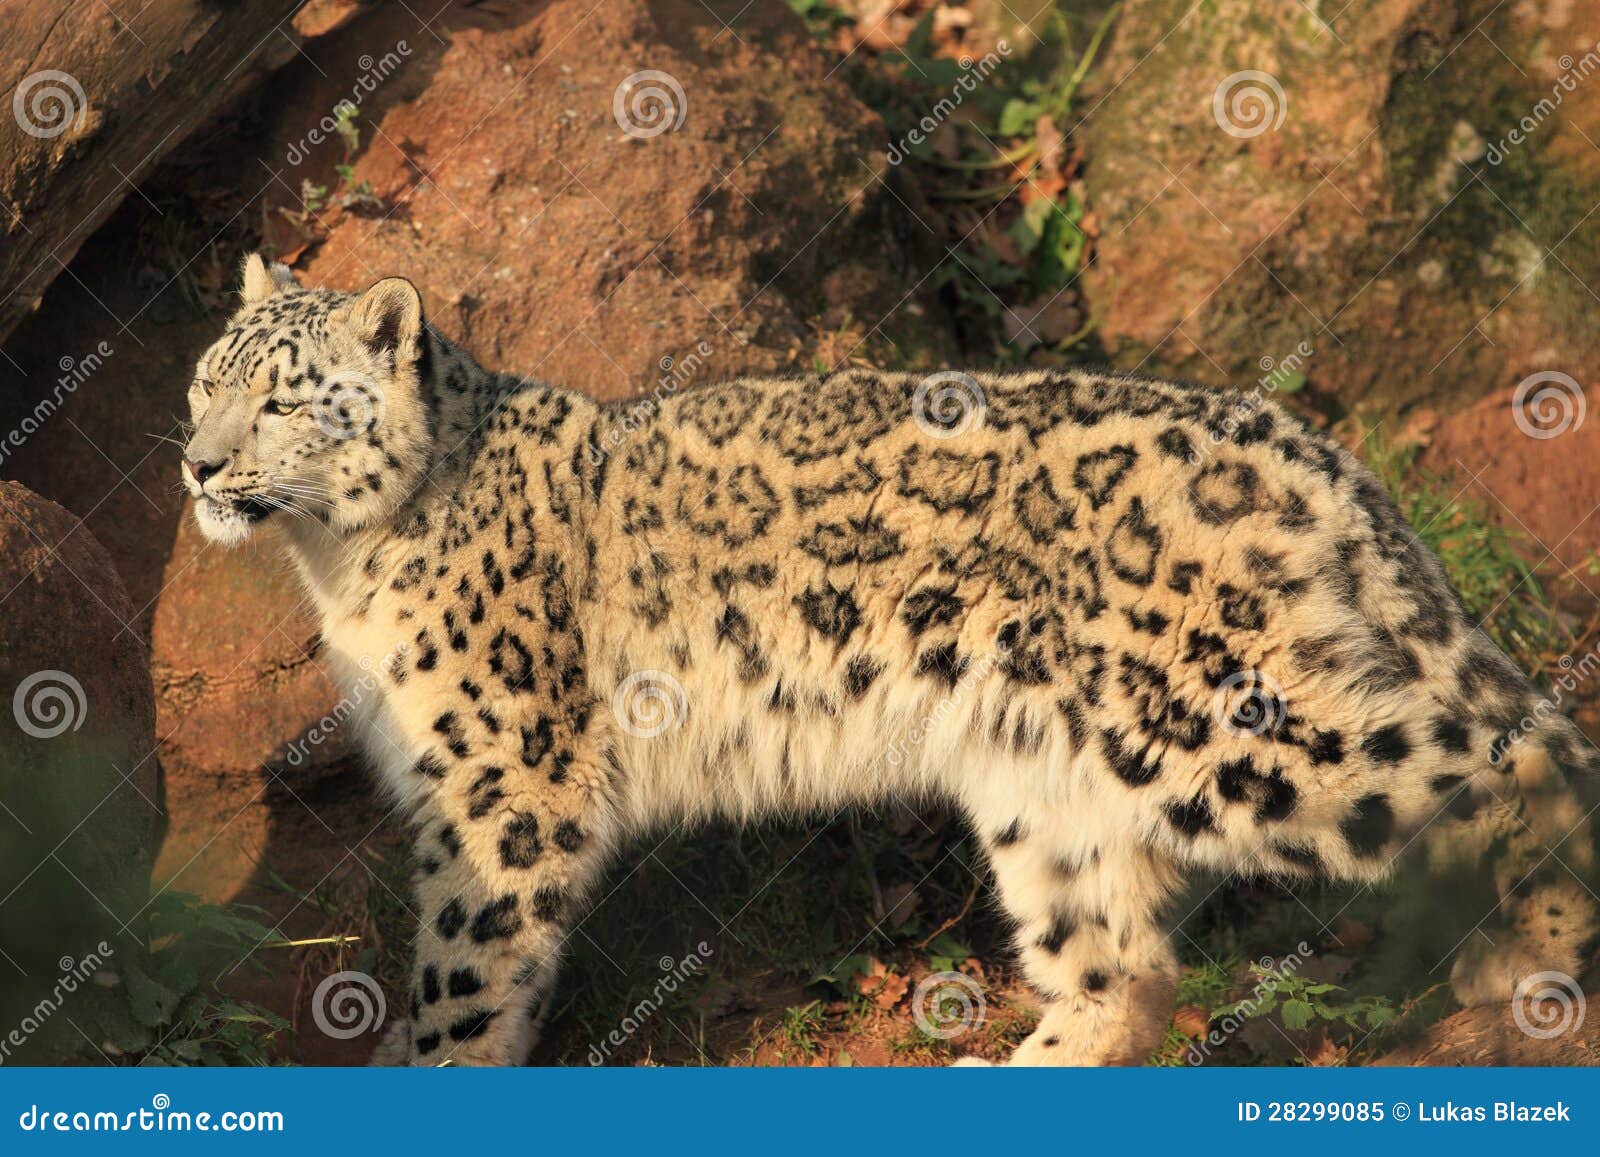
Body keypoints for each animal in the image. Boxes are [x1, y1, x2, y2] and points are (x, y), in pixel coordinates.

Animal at [179, 253, 1599, 1066]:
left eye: (284, 396)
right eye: (204, 380)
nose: (195, 463)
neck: (339, 566)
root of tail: (1294, 442)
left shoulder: (501, 784)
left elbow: (467, 971)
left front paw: (433, 1066)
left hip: (1217, 722)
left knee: (1515, 755)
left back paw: (1530, 961)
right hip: (1044, 784)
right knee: (1122, 966)